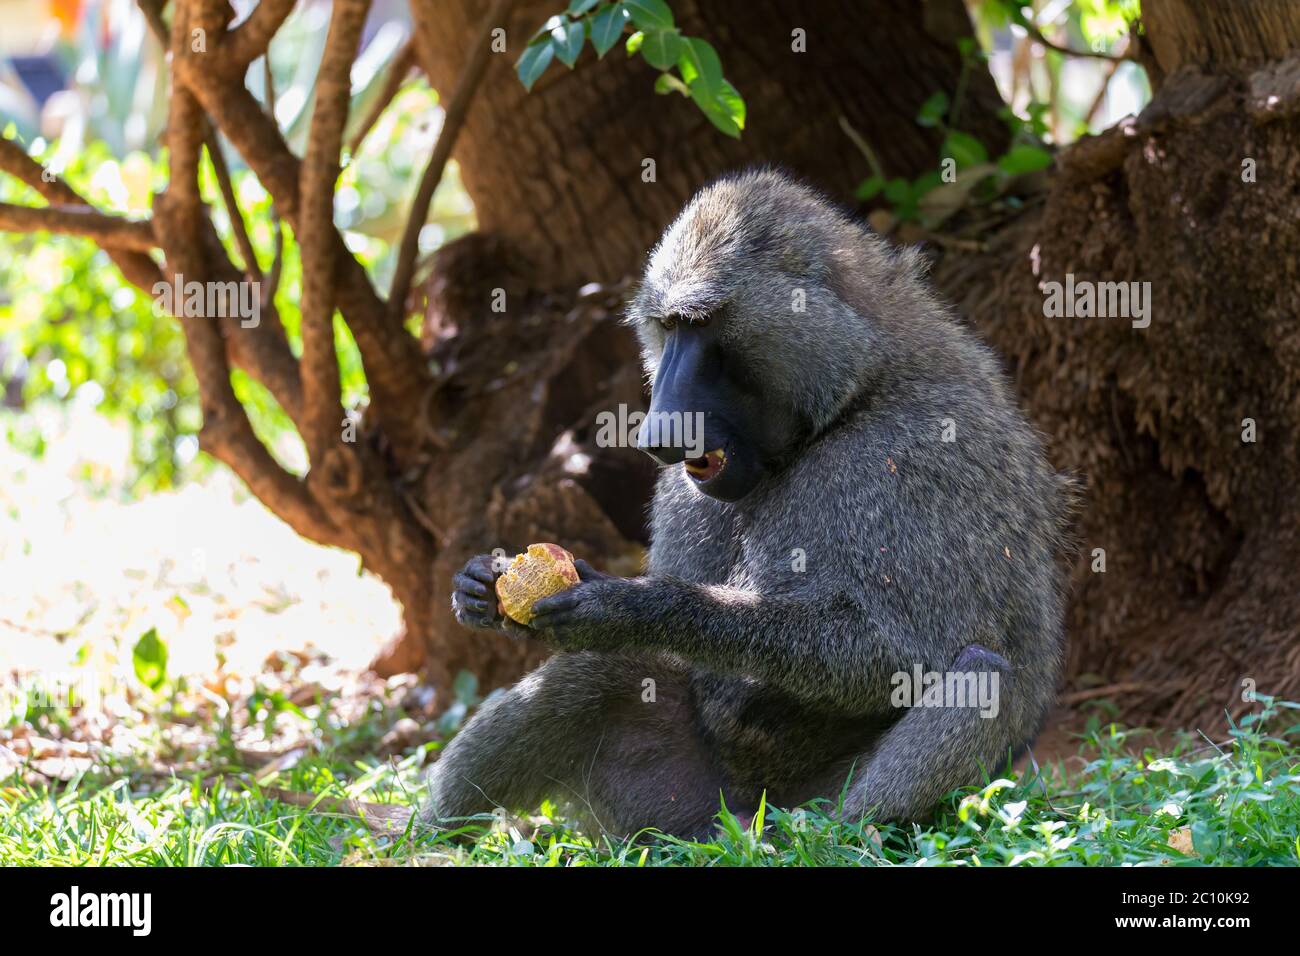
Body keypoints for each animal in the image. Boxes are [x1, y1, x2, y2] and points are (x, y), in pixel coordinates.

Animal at [425, 167, 1071, 837]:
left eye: (700, 325)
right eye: (668, 328)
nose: (657, 432)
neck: (853, 393)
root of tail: (742, 810)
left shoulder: (923, 455)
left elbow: (902, 653)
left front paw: (638, 606)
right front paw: (482, 588)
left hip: (807, 798)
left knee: (982, 674)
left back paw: (831, 837)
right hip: (669, 803)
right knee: (593, 675)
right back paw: (426, 833)